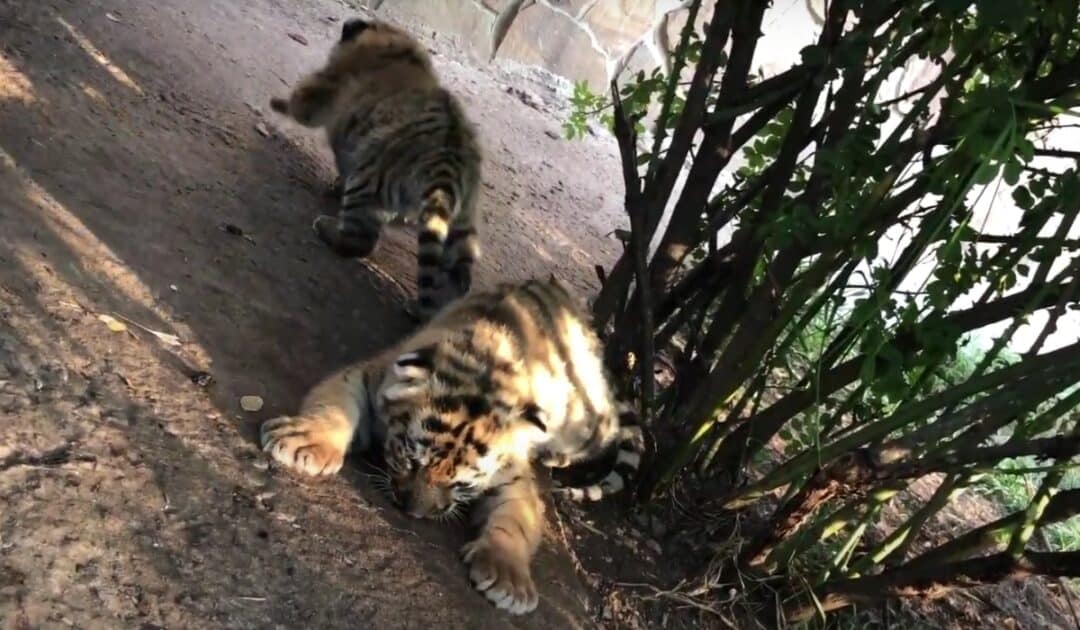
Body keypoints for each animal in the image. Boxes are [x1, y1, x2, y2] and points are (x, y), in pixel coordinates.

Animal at [260, 277, 645, 615]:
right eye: (410, 460)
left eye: (459, 484)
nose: (413, 513)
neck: (484, 372)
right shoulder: (368, 375)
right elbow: (334, 408)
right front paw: (305, 442)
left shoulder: (513, 473)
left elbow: (517, 519)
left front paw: (508, 581)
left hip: (584, 423)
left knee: (606, 425)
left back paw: (557, 455)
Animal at [270, 17, 482, 319]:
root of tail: (449, 161)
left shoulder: (327, 84)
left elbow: (302, 103)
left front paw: (278, 104)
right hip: (461, 226)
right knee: (458, 278)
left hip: (368, 180)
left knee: (360, 241)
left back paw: (327, 229)